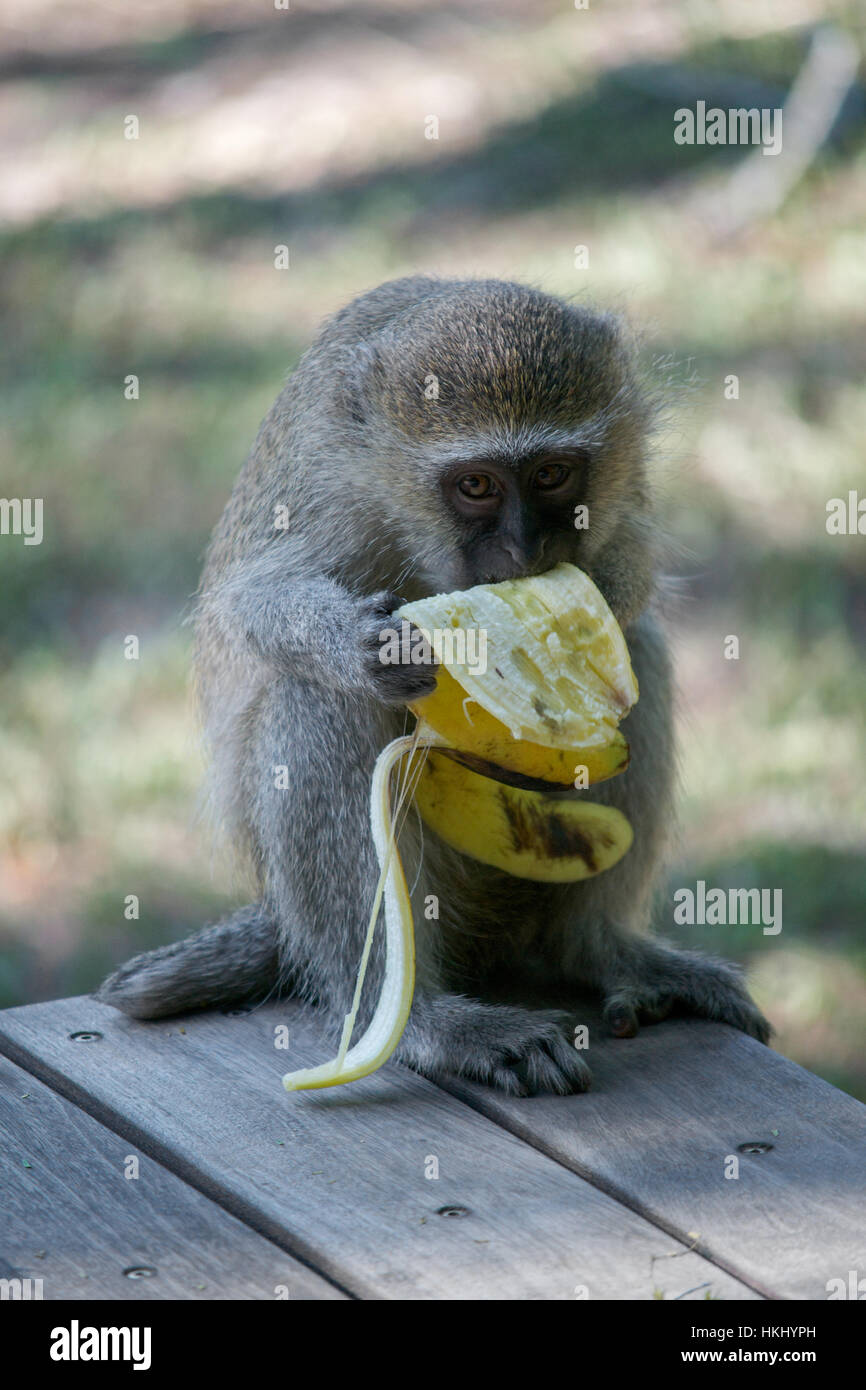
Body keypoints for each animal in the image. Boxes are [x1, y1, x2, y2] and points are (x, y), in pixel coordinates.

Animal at [97, 275, 771, 1096]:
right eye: (475, 486)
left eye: (552, 475)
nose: (523, 552)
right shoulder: (329, 486)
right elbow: (251, 600)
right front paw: (363, 646)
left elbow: (632, 556)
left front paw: (588, 604)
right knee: (318, 701)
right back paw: (422, 1024)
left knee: (639, 652)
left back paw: (593, 948)